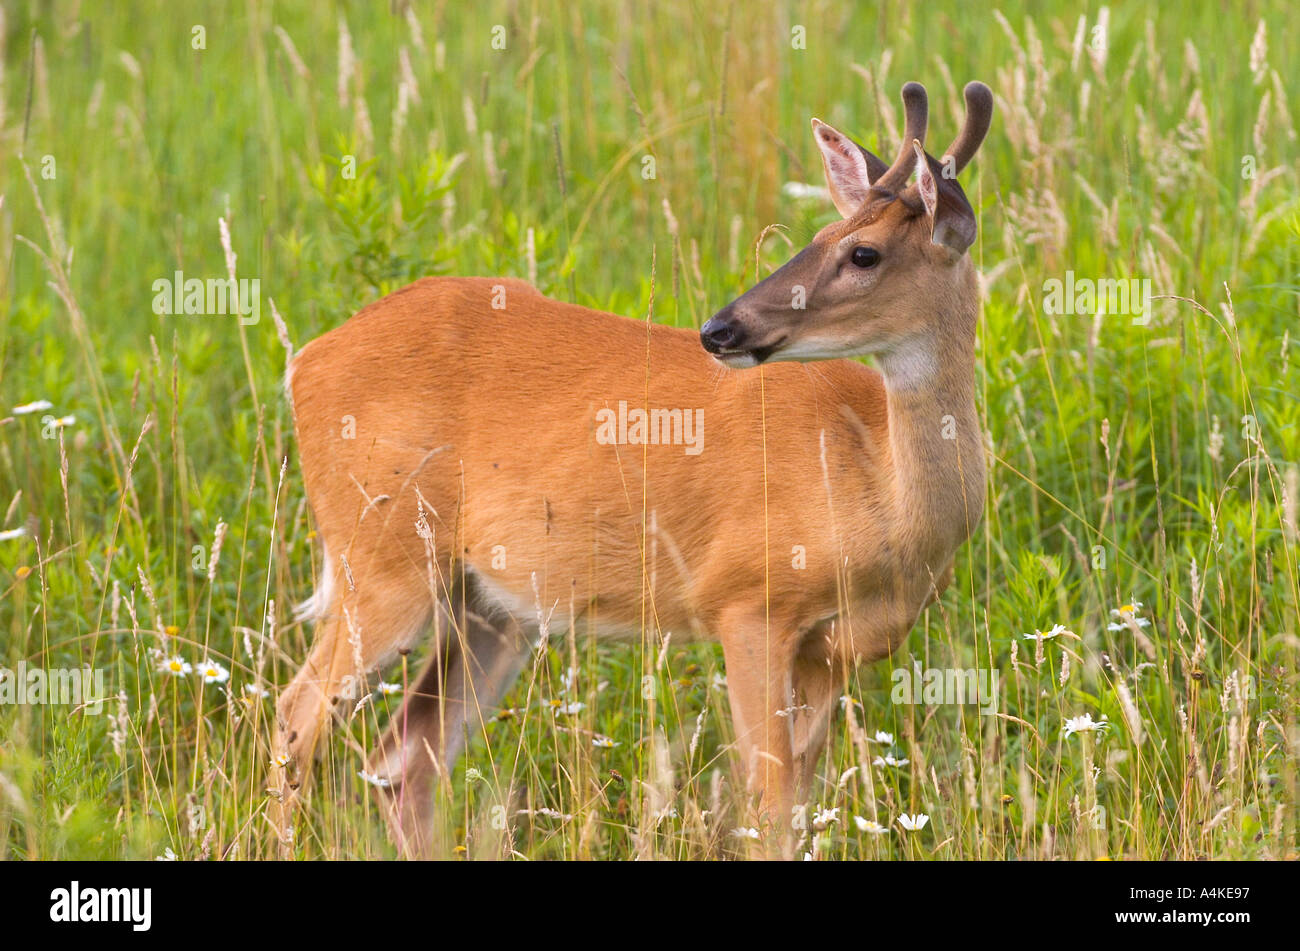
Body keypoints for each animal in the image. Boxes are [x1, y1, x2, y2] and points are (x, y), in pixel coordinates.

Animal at [269, 79, 993, 858]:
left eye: (862, 252)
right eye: (817, 238)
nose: (720, 328)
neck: (880, 493)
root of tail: (304, 361)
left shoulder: (836, 652)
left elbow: (799, 806)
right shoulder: (746, 600)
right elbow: (768, 808)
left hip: (490, 606)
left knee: (404, 757)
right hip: (380, 557)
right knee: (295, 714)